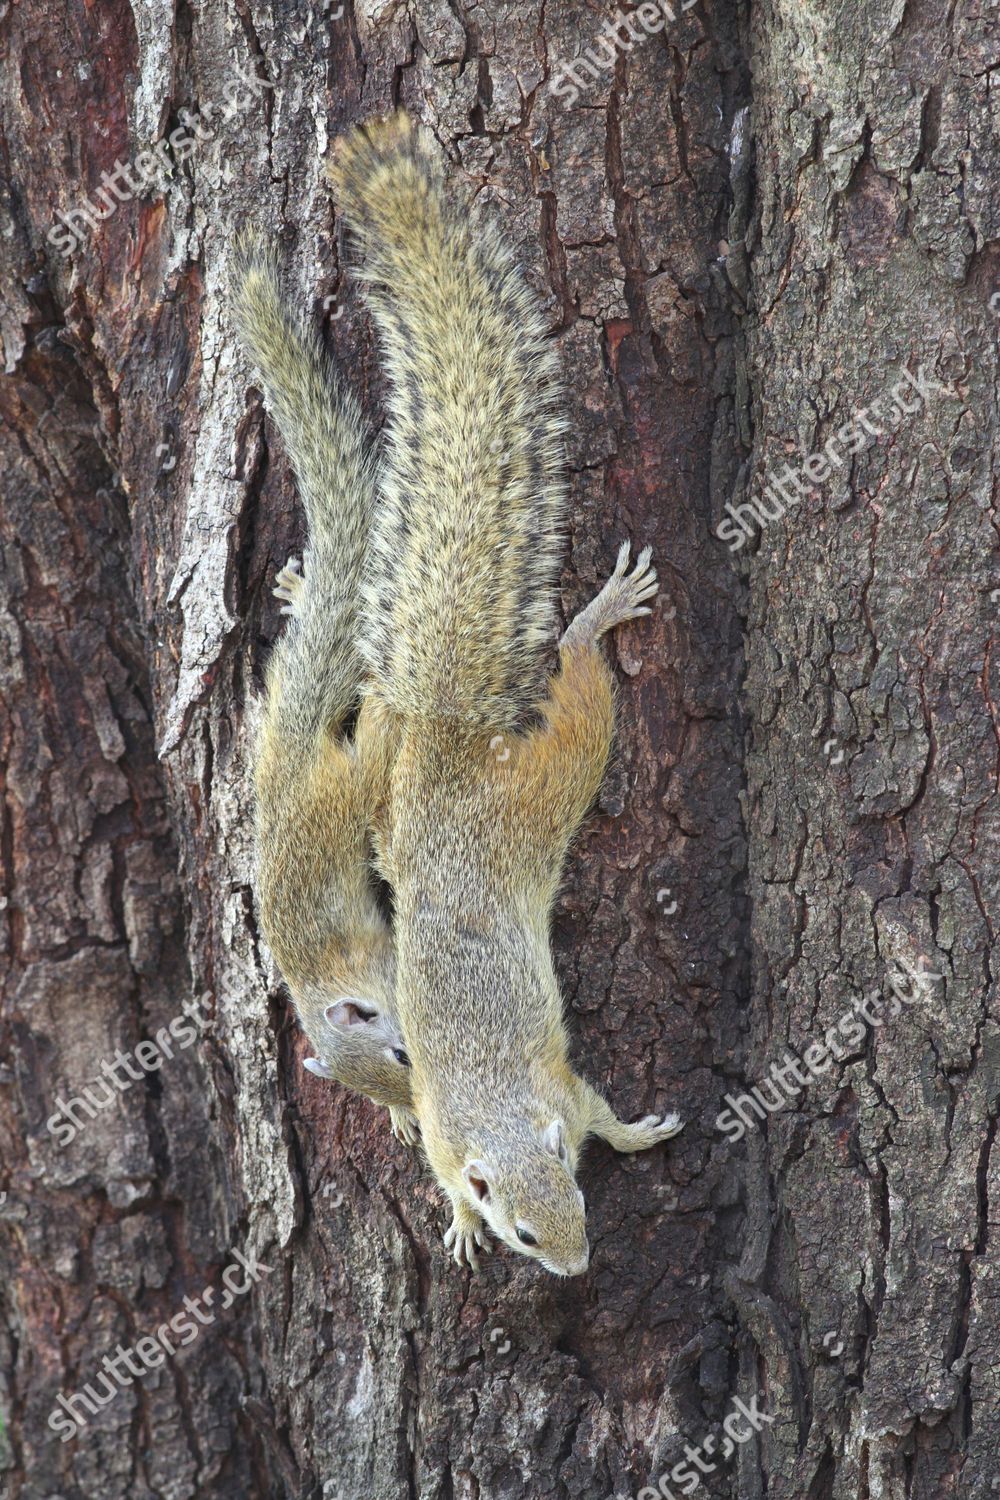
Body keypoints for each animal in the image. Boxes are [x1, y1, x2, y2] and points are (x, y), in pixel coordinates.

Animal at [327, 113, 682, 1276]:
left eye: (575, 1193)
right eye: (525, 1230)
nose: (574, 1270)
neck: (496, 1116)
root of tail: (445, 743)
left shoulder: (559, 1093)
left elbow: (599, 1107)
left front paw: (640, 1133)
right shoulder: (456, 1132)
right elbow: (446, 1177)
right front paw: (450, 1222)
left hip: (533, 791)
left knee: (574, 690)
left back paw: (596, 616)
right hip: (476, 808)